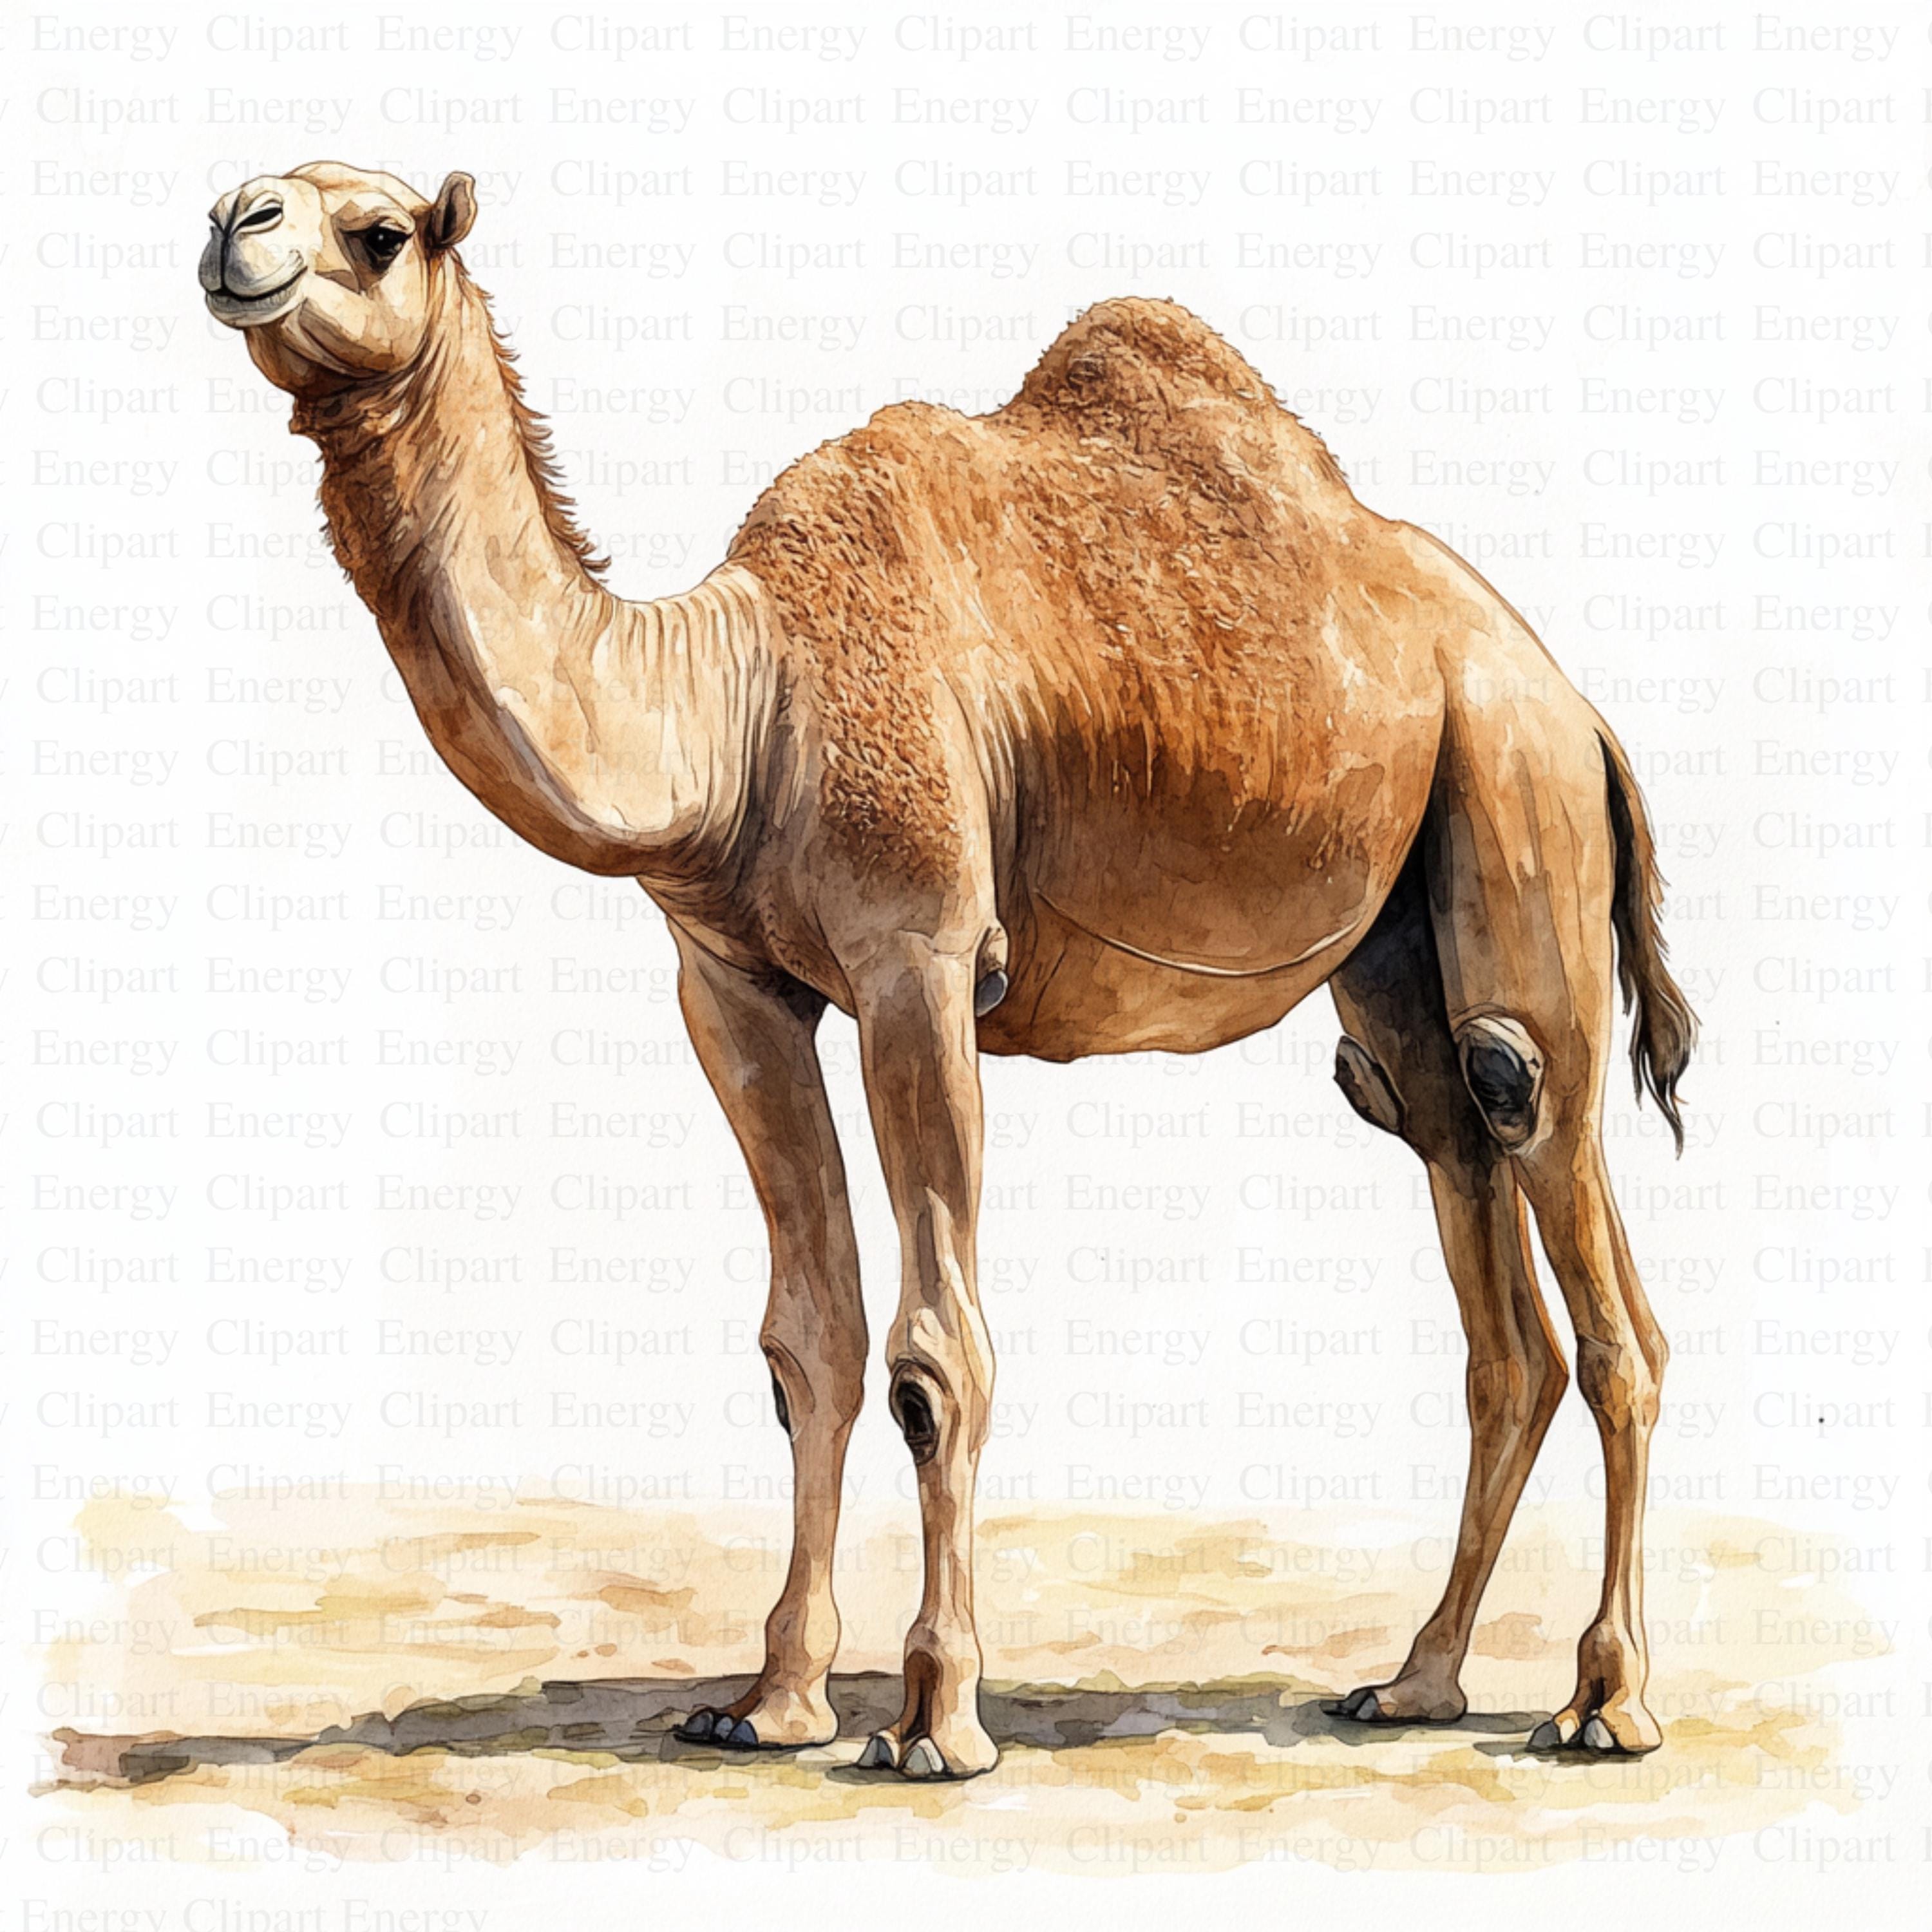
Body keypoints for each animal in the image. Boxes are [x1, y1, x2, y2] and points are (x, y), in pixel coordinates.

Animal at [200, 163, 1697, 1780]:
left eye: (379, 233)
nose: (237, 222)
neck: (743, 700)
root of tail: (1574, 697)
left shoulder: (918, 959)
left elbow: (934, 1357)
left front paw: (933, 1716)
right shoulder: (732, 986)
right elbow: (808, 1343)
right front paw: (769, 1699)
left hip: (1518, 803)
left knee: (1569, 1201)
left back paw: (1603, 1702)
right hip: (1398, 941)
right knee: (1481, 1256)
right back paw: (1412, 1681)